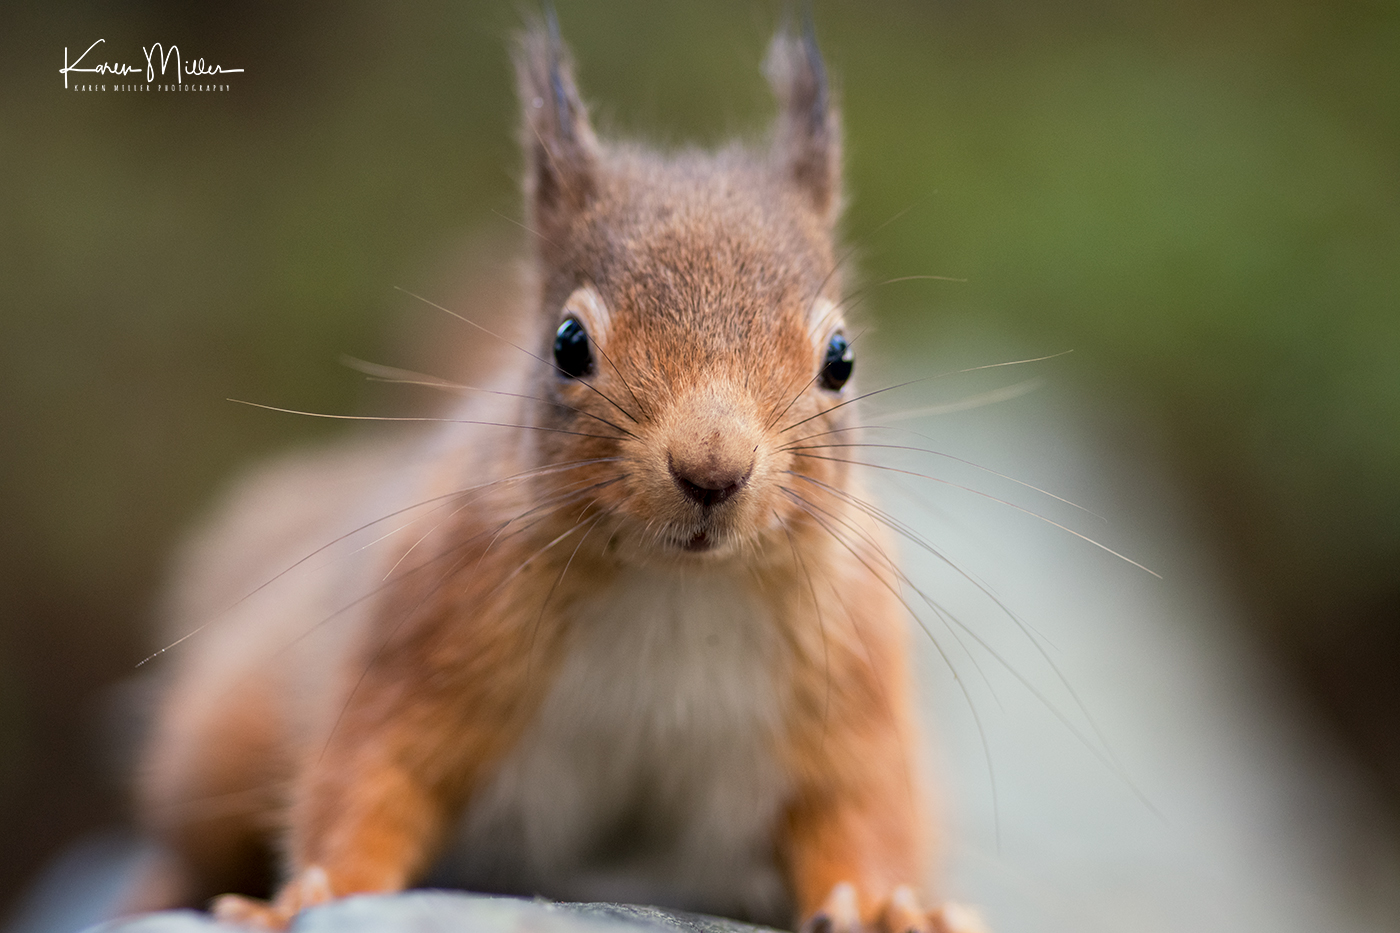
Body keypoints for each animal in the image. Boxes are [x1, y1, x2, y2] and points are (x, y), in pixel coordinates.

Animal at [122, 15, 987, 933]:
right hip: (226, 727)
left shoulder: (850, 682)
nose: (712, 469)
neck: (674, 588)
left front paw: (892, 906)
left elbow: (860, 809)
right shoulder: (427, 626)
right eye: (568, 344)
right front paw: (310, 891)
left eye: (841, 358)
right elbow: (369, 769)